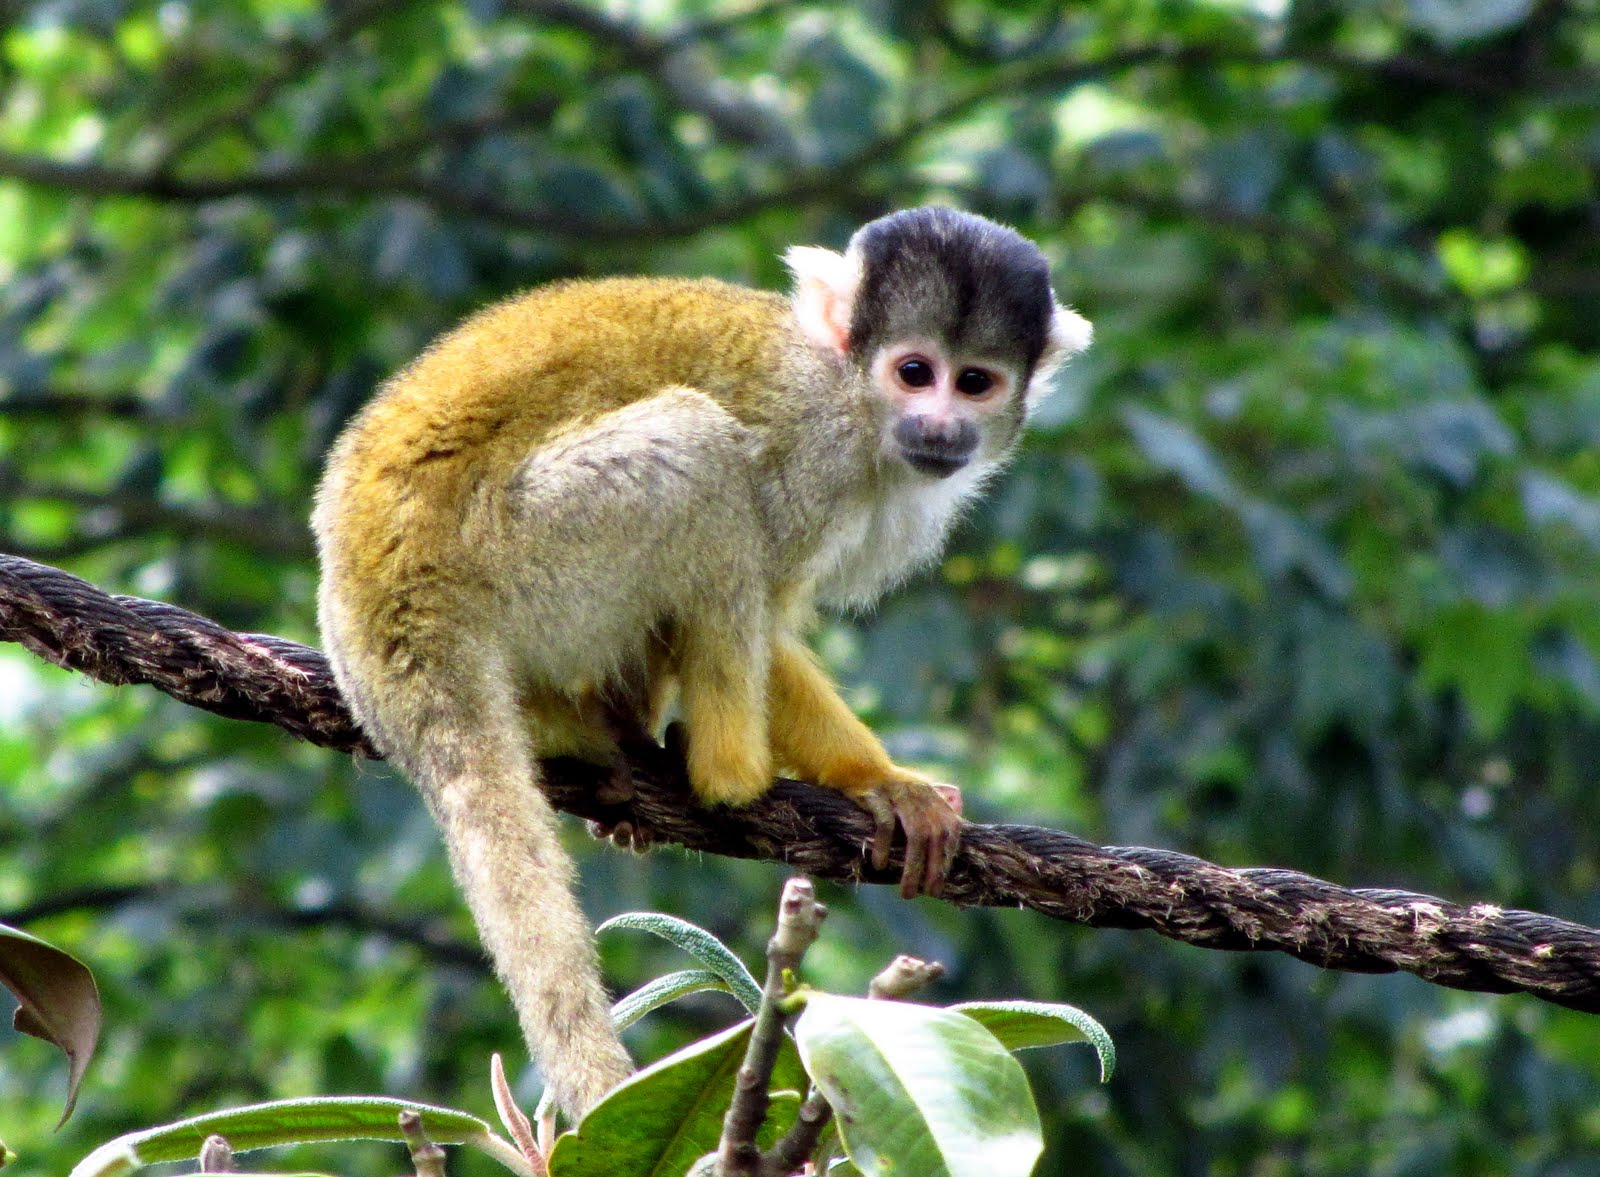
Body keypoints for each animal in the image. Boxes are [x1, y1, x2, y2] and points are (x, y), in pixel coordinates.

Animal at [311, 206, 1092, 1123]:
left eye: (974, 382)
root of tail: (387, 594)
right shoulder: (813, 447)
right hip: (523, 548)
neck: (851, 396)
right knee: (702, 454)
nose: (941, 426)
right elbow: (769, 609)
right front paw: (874, 777)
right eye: (913, 372)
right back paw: (727, 767)